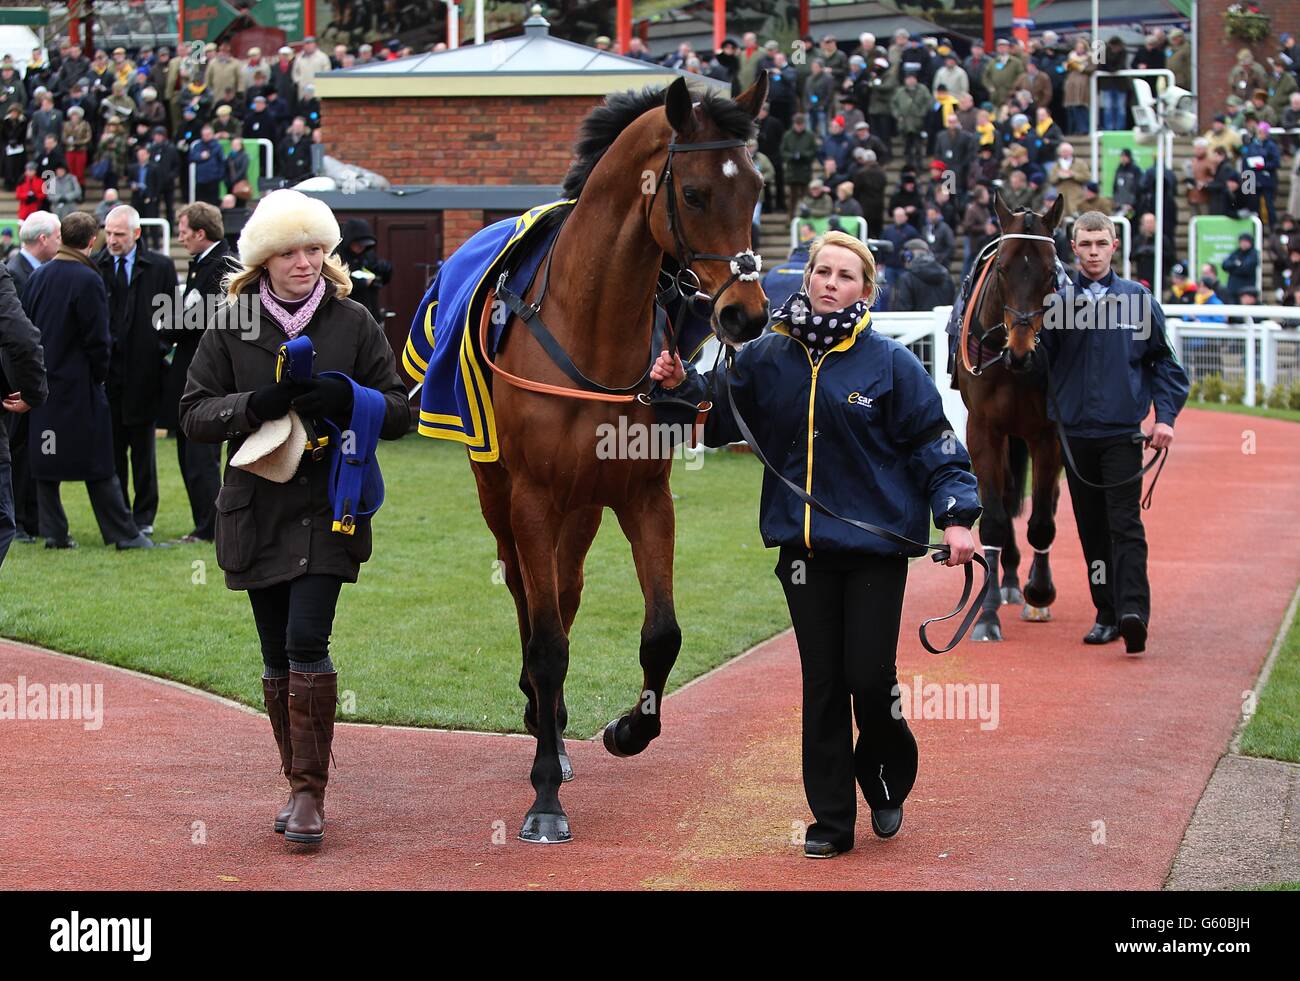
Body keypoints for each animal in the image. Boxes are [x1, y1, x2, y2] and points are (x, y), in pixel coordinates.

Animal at [469, 76, 770, 842]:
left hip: (583, 504)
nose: (746, 315)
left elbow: (662, 633)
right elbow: (546, 643)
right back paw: (539, 720)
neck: (591, 333)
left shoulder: (643, 496)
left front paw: (629, 728)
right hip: (500, 494)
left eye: (756, 187)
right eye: (694, 192)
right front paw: (545, 796)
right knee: (528, 596)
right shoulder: (533, 496)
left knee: (567, 590)